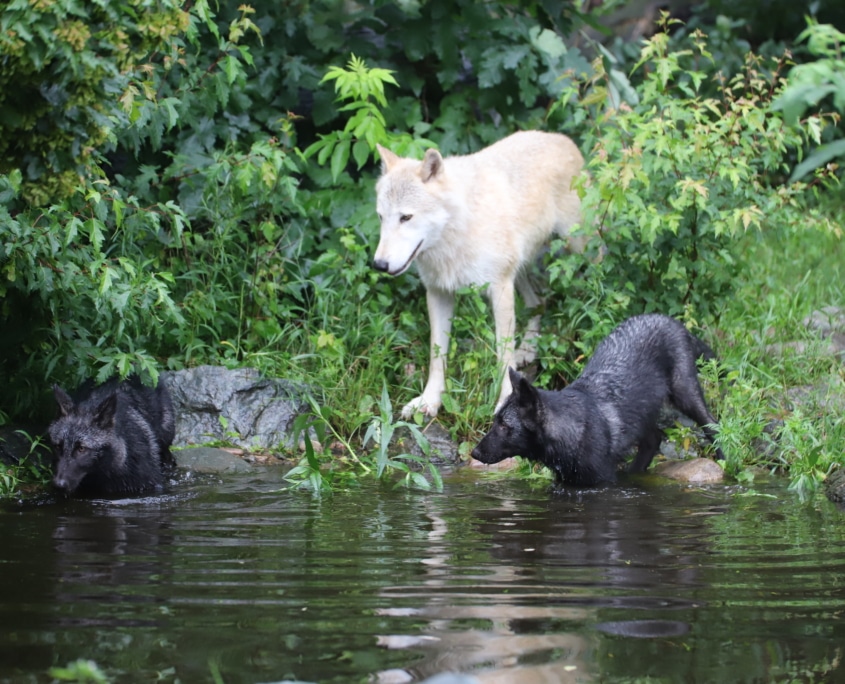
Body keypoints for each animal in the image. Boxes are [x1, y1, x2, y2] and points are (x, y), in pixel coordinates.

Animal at [374, 130, 584, 418]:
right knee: (539, 301)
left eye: (406, 217)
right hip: (520, 272)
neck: (459, 229)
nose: (379, 264)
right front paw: (429, 401)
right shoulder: (438, 293)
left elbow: (503, 355)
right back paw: (528, 348)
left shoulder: (500, 290)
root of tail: (561, 138)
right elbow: (437, 354)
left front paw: (504, 401)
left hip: (580, 250)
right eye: (381, 217)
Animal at [471, 314, 724, 487]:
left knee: (713, 424)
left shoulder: (602, 482)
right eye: (495, 421)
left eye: (504, 425)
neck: (570, 431)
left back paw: (723, 461)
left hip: (685, 395)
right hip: (644, 415)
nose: (474, 453)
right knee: (654, 439)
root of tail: (669, 320)